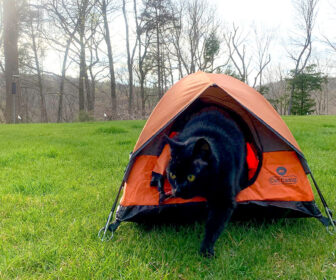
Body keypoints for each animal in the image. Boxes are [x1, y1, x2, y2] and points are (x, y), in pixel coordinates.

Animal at [165, 109, 247, 256]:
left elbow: (213, 226)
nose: (178, 189)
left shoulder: (224, 200)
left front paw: (206, 249)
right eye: (172, 175)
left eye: (191, 177)